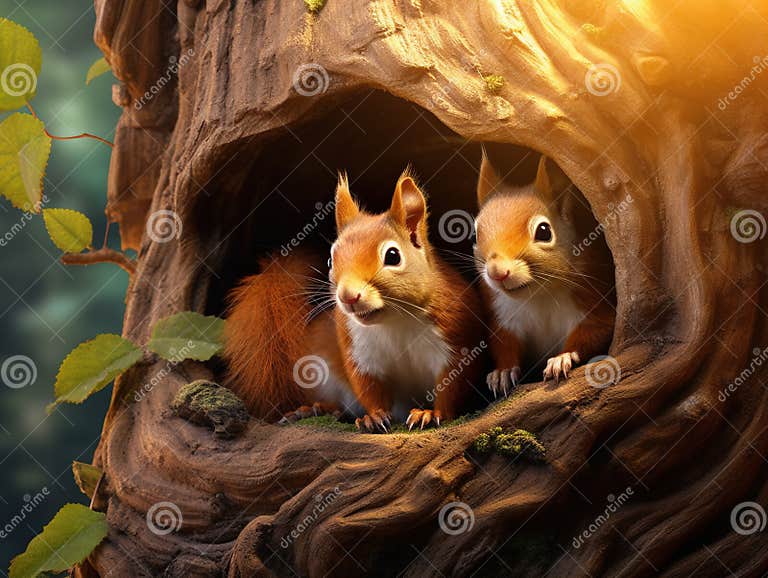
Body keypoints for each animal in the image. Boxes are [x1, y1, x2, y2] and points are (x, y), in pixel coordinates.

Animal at [223, 170, 486, 432]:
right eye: (330, 260)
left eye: (393, 256)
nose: (348, 296)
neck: (395, 321)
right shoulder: (358, 350)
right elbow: (368, 388)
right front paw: (374, 417)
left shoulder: (454, 339)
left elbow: (452, 385)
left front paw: (431, 413)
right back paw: (314, 409)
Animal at [472, 151, 615, 396]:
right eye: (475, 232)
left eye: (544, 231)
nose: (497, 272)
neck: (539, 295)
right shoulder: (503, 314)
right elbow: (505, 343)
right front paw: (503, 372)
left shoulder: (592, 297)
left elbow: (593, 329)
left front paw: (562, 358)